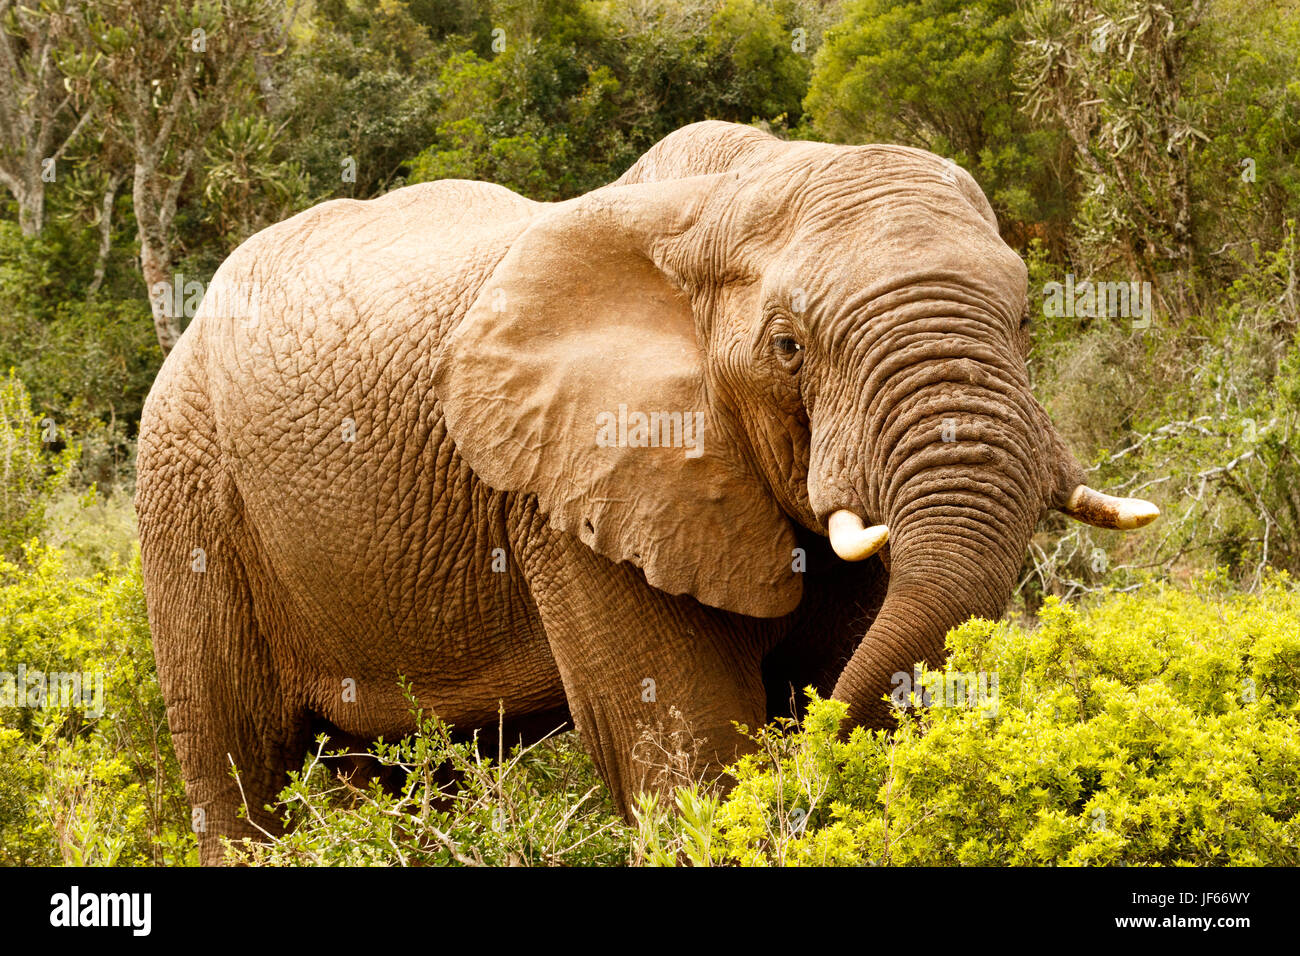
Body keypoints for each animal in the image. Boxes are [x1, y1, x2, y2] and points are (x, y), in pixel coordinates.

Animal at [135, 121, 1158, 863]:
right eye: (789, 347)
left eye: (1023, 319)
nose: (801, 772)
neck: (720, 200)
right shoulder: (570, 492)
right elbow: (687, 749)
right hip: (188, 495)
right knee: (241, 771)